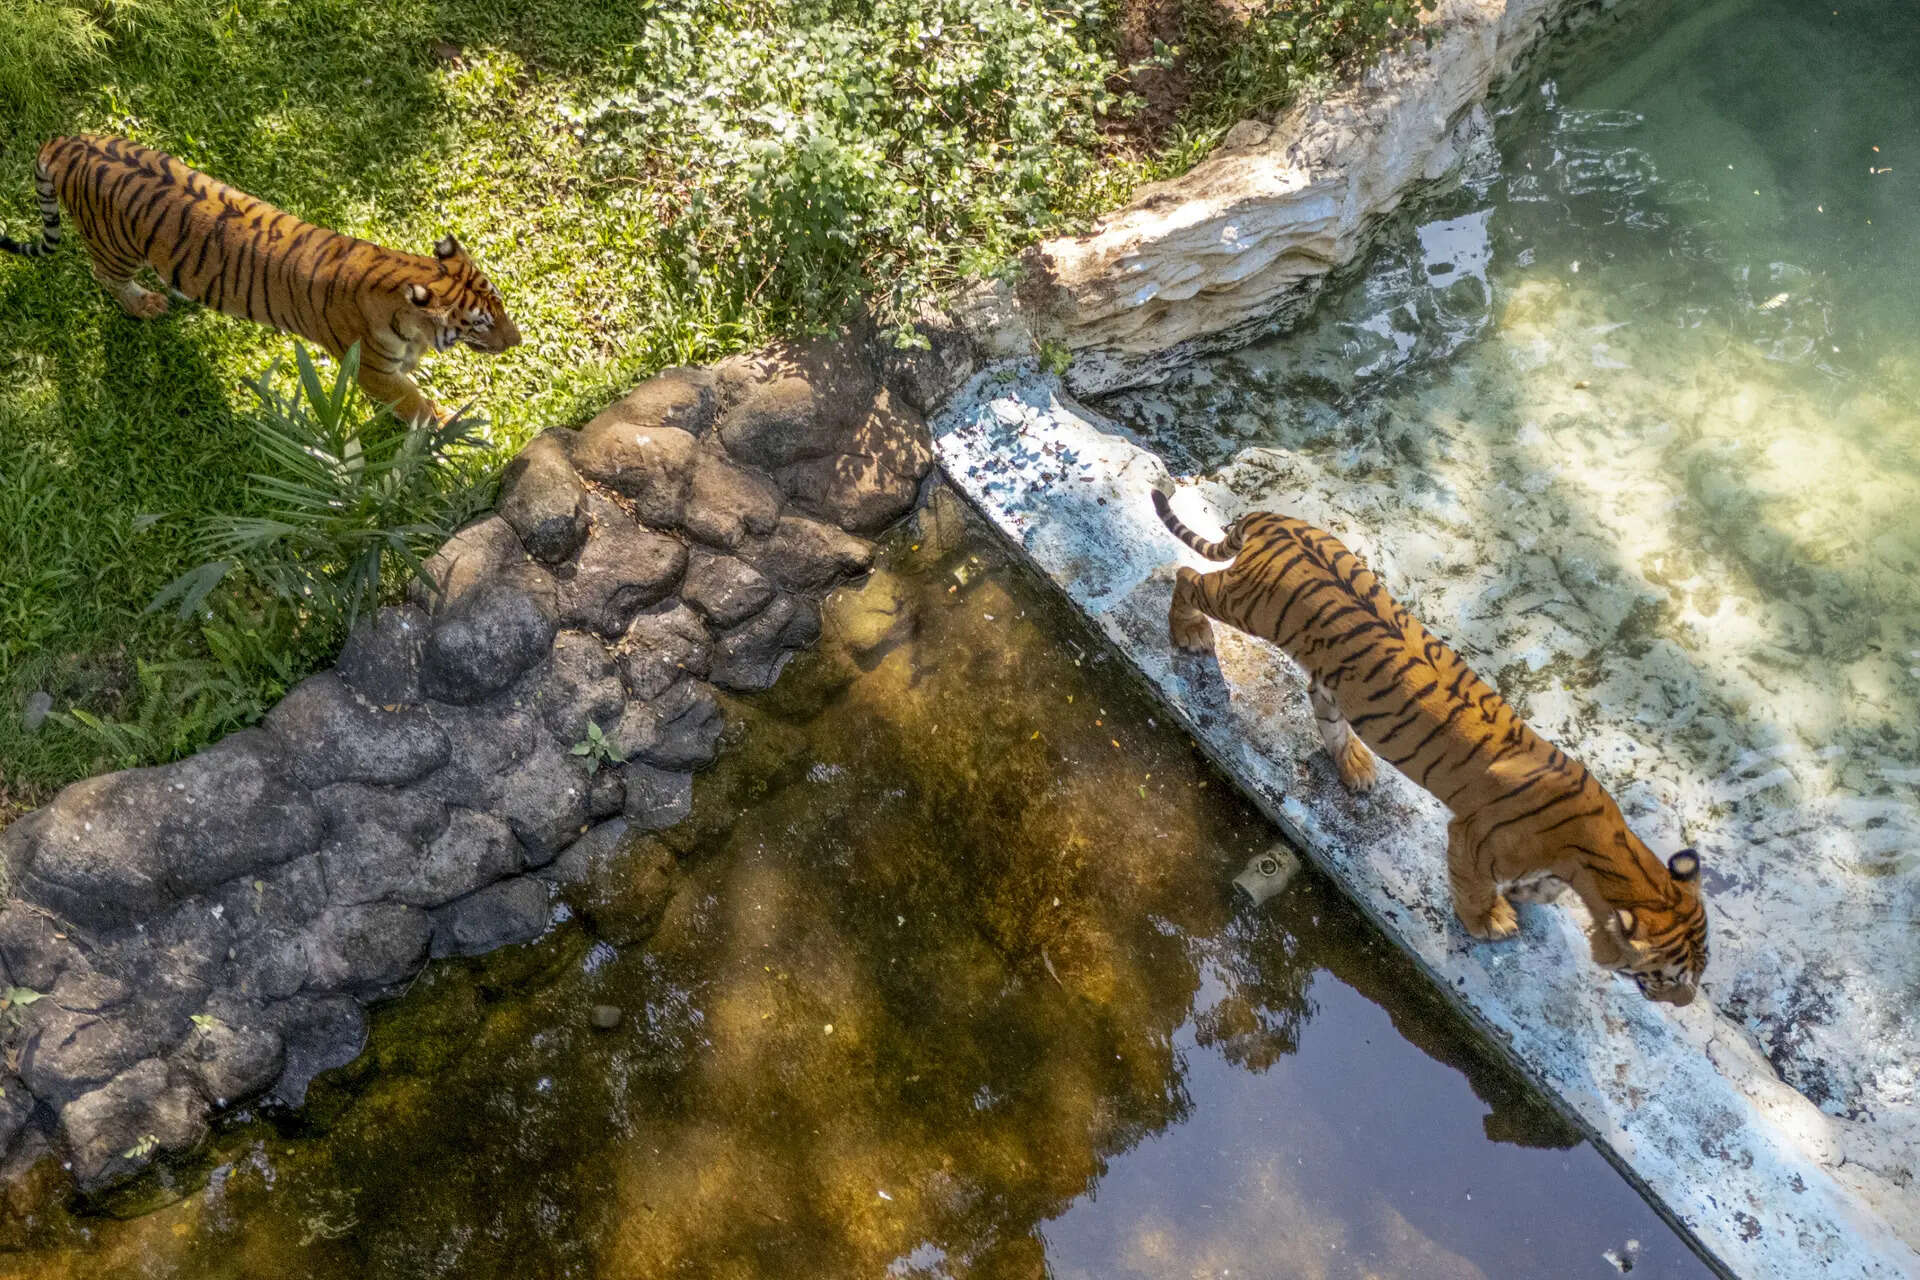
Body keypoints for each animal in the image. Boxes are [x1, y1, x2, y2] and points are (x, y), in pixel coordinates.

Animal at [0, 134, 519, 423]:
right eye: (480, 323)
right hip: (116, 248)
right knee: (104, 275)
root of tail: (68, 142)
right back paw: (144, 303)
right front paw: (444, 426)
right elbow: (413, 405)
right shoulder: (372, 372)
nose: (517, 341)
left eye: (499, 303)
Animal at [1151, 486, 1707, 1006]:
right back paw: (1189, 634)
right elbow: (1475, 887)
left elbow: (1543, 888)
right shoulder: (1471, 838)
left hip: (1329, 673)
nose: (1682, 1002)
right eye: (1670, 976)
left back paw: (1355, 765)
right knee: (1188, 576)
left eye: (1698, 969)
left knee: (1325, 709)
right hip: (1247, 605)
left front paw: (1526, 895)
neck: (1611, 851)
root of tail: (1277, 520)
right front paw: (1492, 921)